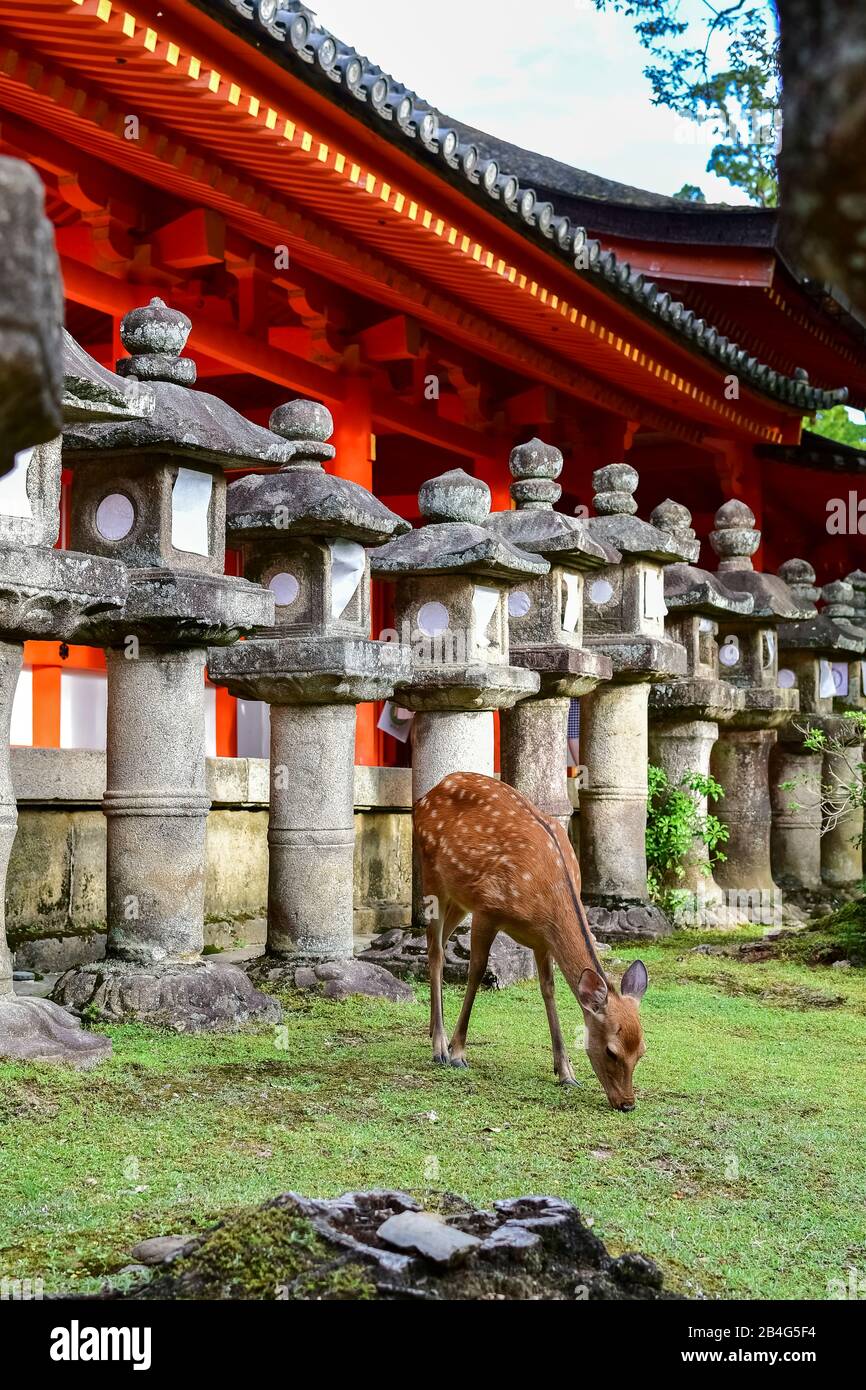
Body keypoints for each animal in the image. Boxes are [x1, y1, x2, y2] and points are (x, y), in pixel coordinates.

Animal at [414, 771, 648, 1111]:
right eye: (611, 1050)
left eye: (642, 1050)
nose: (627, 1103)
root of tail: (425, 796)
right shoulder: (487, 909)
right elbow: (476, 972)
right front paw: (458, 1053)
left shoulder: (542, 940)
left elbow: (548, 990)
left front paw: (566, 1072)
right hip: (432, 875)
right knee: (435, 952)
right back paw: (439, 1047)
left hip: (459, 899)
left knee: (439, 944)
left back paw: (435, 1030)